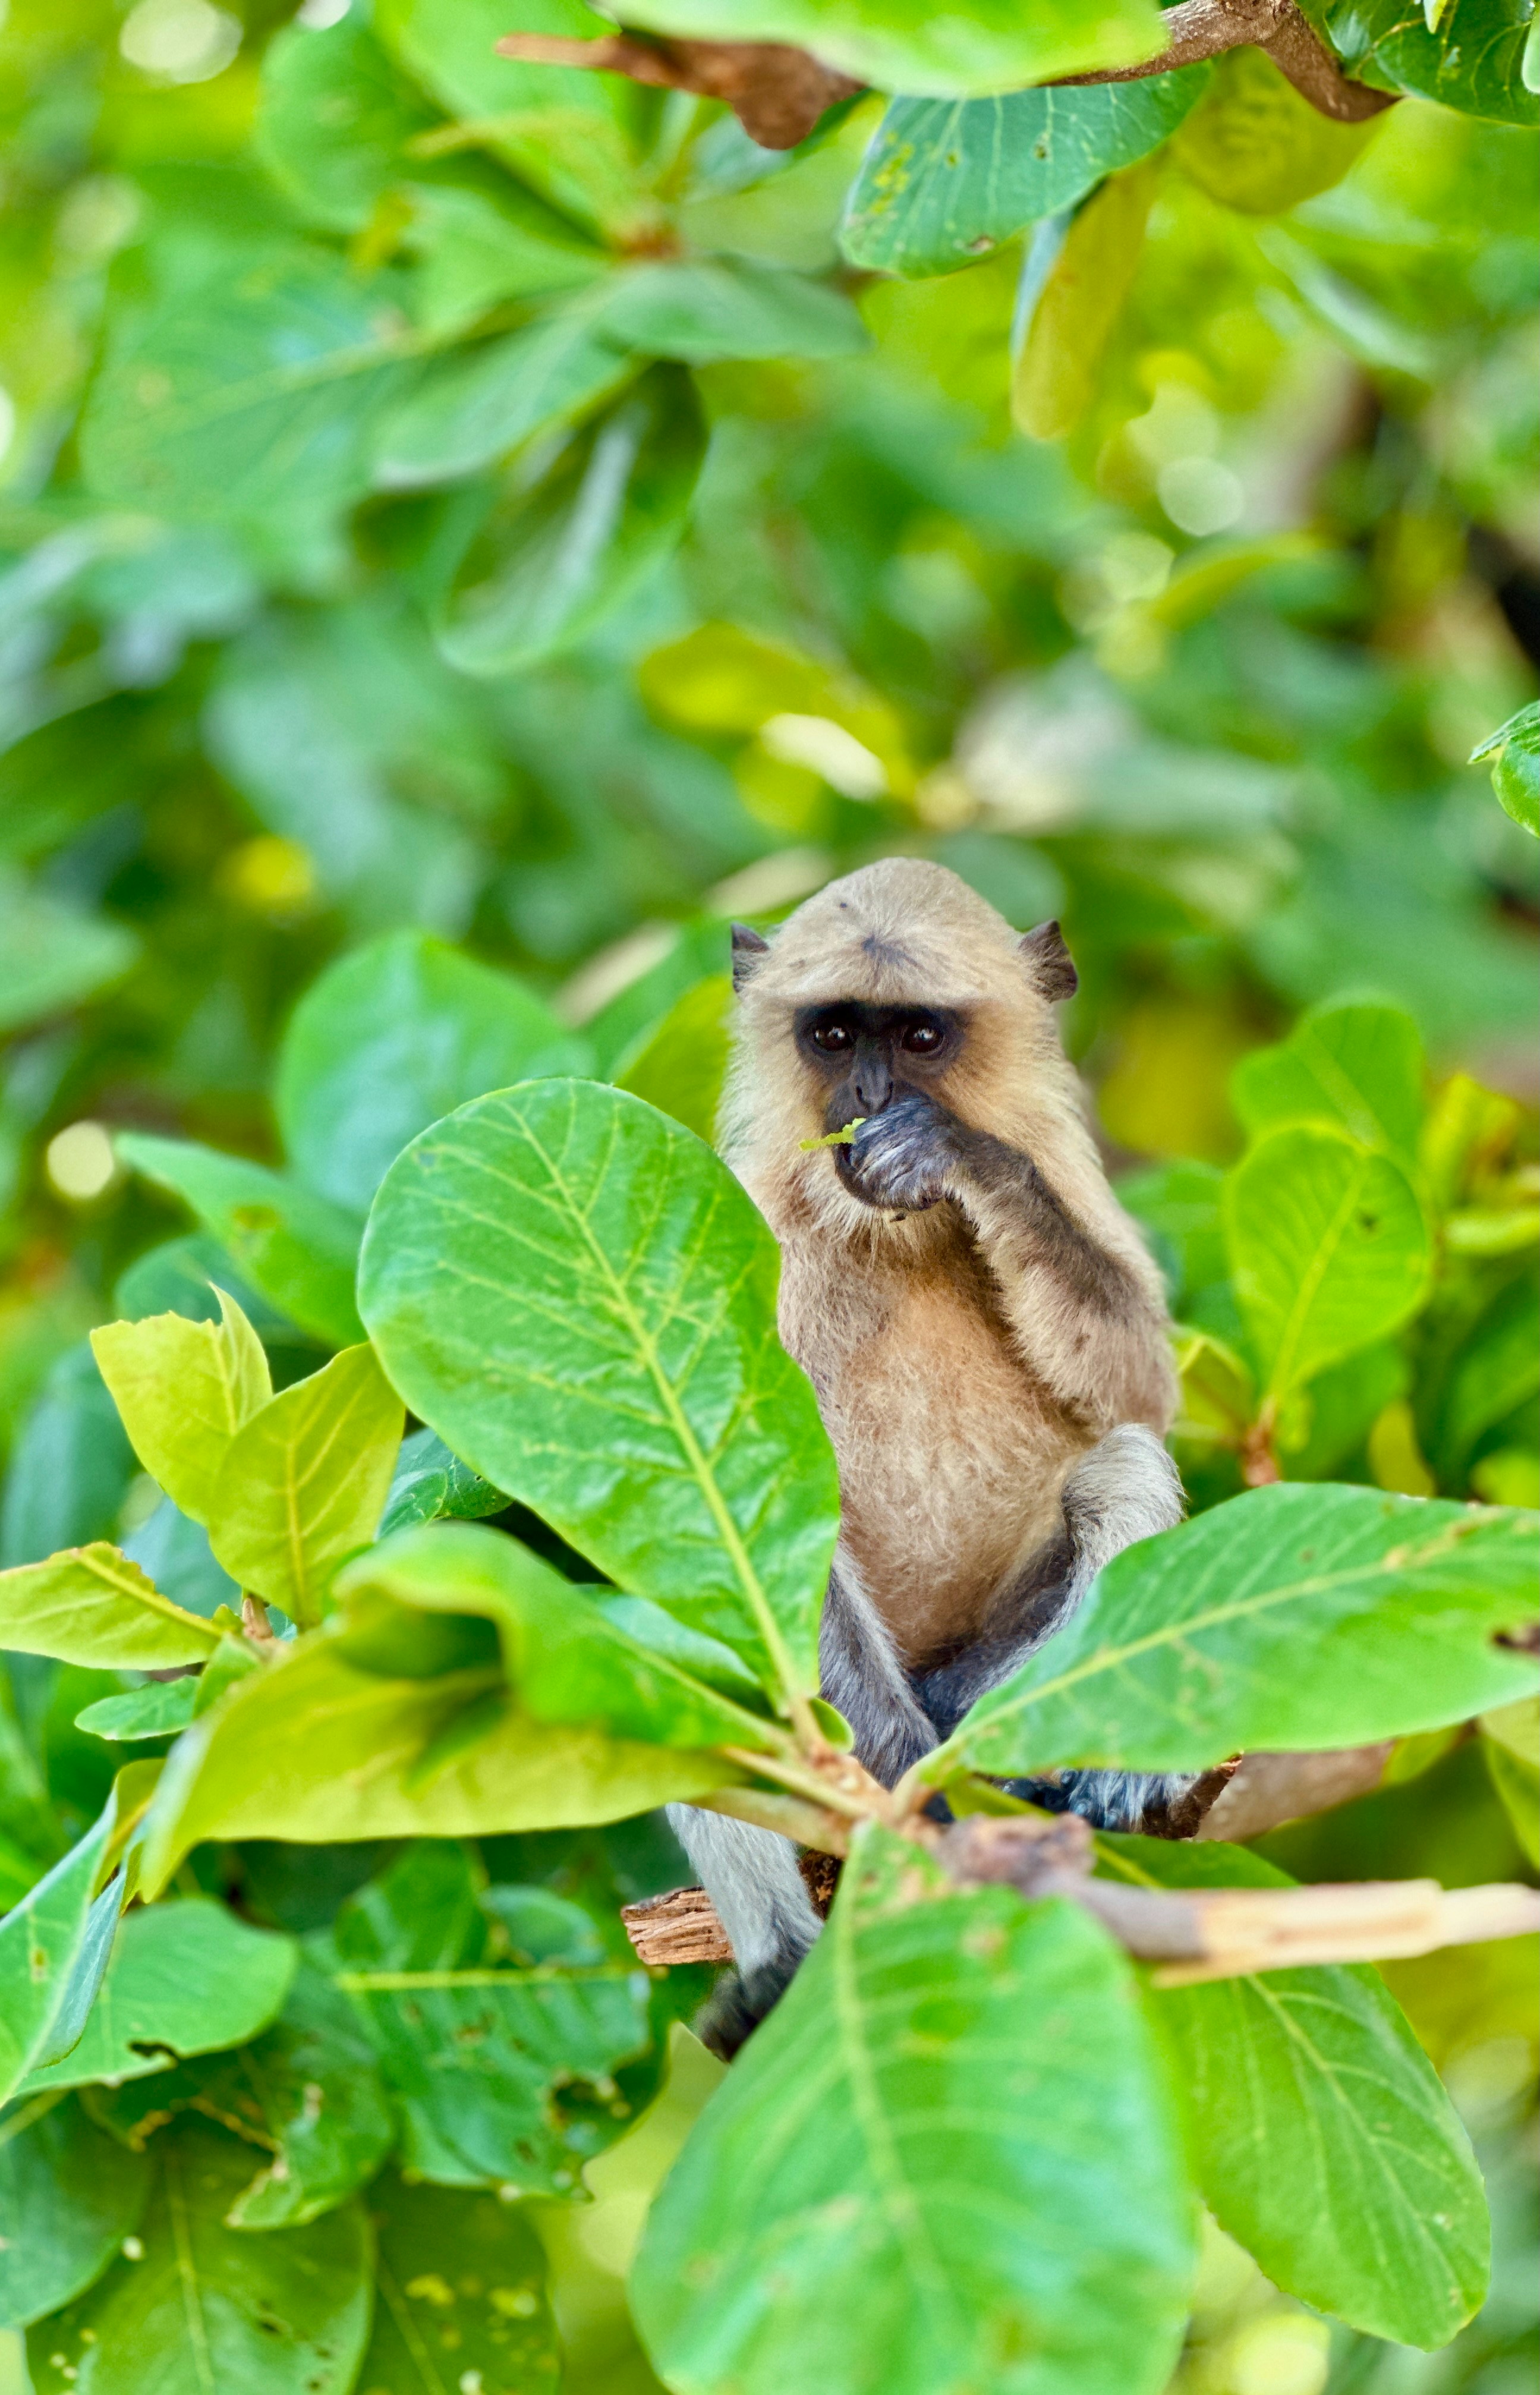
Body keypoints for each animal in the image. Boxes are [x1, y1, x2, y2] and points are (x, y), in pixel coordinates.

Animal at [667, 858, 1201, 2057]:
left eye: (916, 1036)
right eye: (832, 1034)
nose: (868, 1099)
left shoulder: (1061, 1161)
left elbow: (1137, 1380)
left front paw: (959, 1160)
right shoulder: (746, 1210)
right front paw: (921, 1817)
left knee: (1122, 1467)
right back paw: (777, 1971)